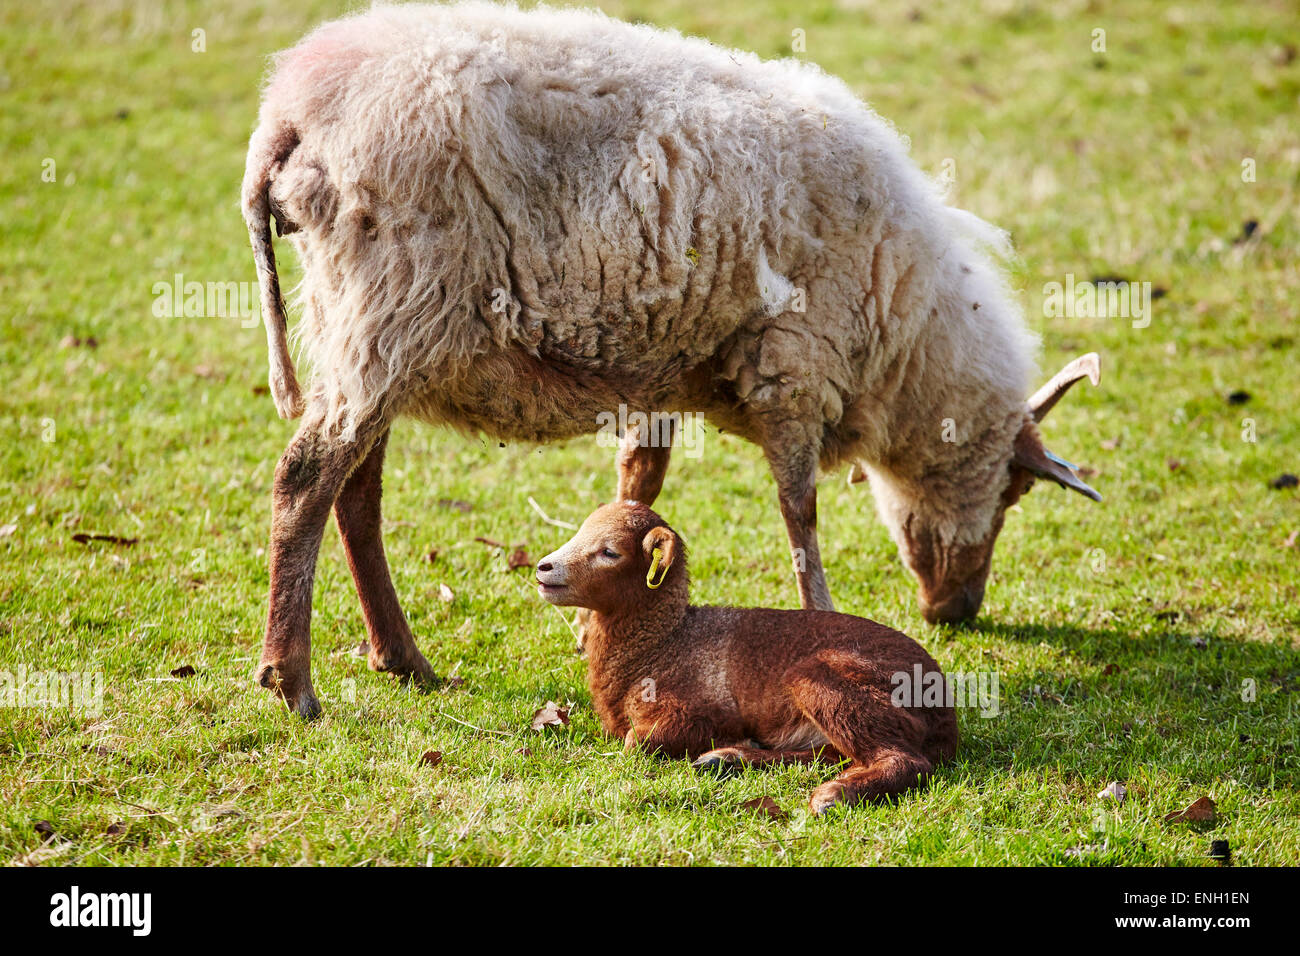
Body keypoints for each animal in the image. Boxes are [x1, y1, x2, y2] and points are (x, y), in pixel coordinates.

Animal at [242, 1, 1100, 717]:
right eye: (1014, 491)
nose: (956, 613)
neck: (906, 330)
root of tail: (289, 110)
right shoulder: (795, 364)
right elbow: (800, 512)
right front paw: (823, 618)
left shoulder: (660, 371)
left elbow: (640, 482)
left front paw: (599, 605)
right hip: (394, 311)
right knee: (306, 480)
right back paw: (292, 681)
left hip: (364, 328)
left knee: (356, 495)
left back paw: (402, 659)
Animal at [536, 500, 959, 813]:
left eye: (610, 551)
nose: (543, 567)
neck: (664, 644)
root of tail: (945, 714)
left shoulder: (700, 711)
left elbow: (635, 744)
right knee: (831, 753)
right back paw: (726, 759)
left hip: (827, 679)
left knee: (905, 760)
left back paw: (834, 795)